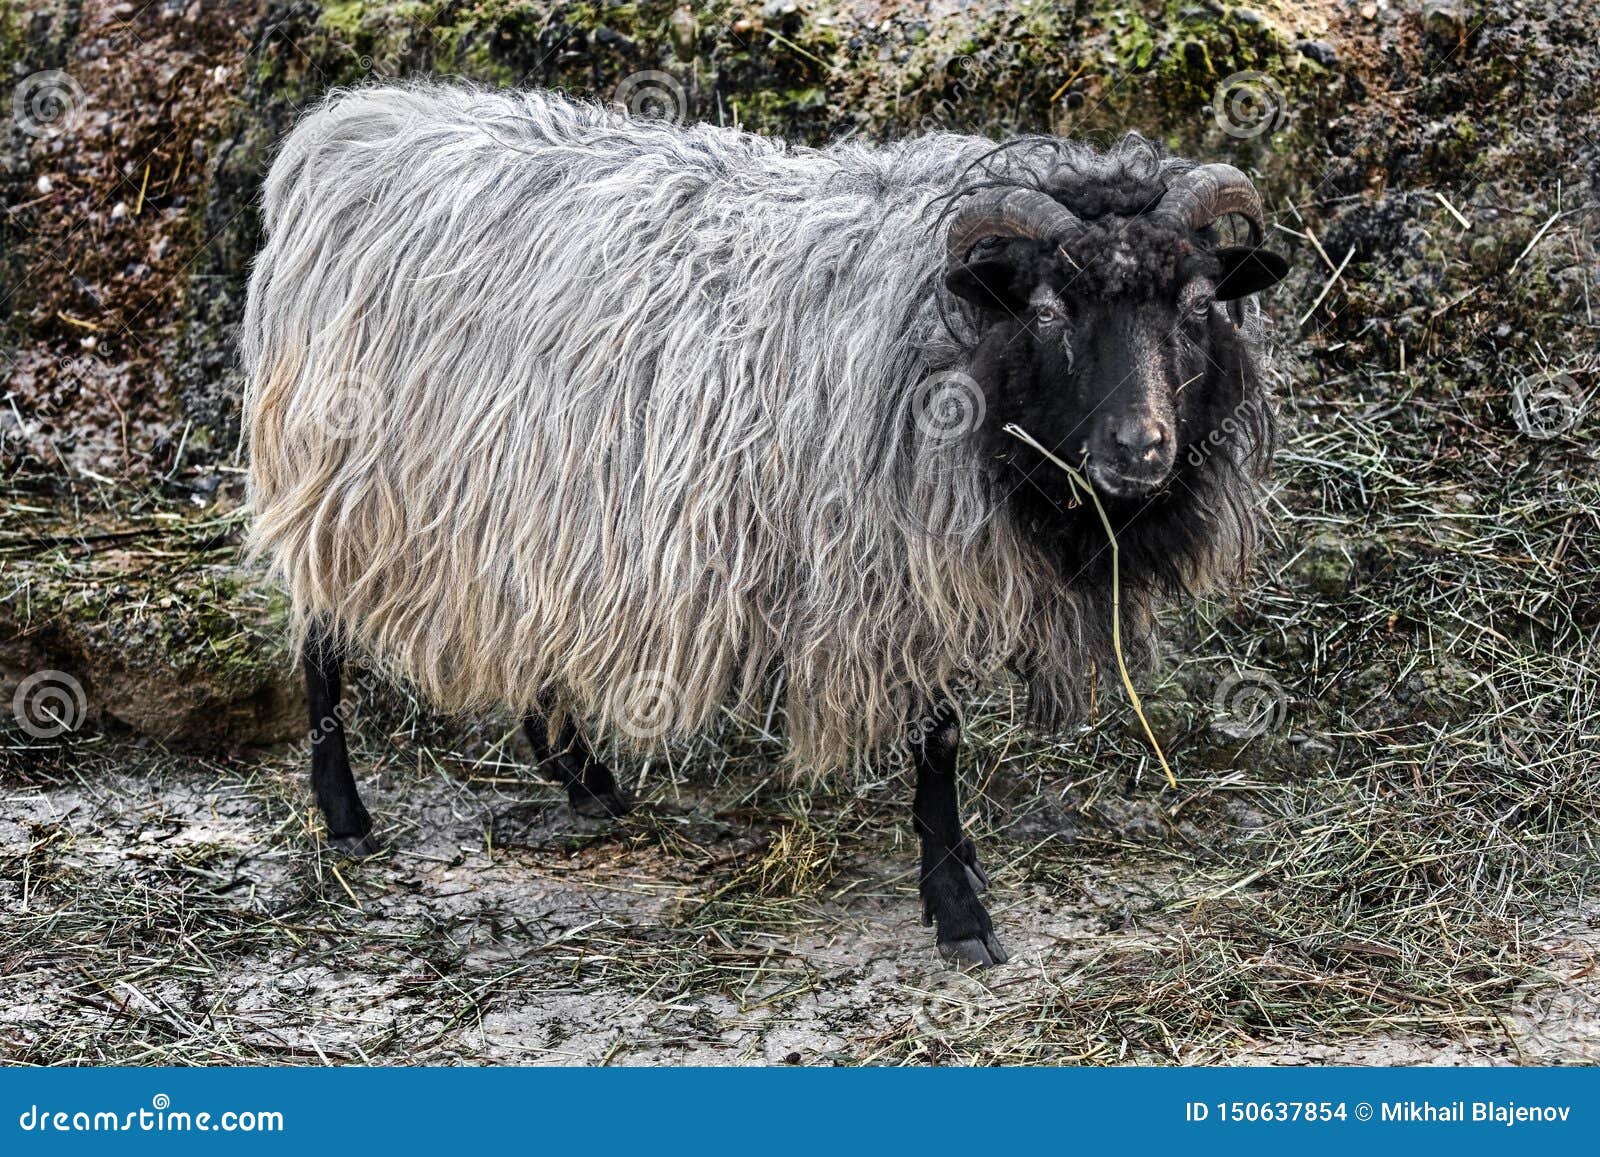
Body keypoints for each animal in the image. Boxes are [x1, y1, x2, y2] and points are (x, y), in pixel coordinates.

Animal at [242, 82, 1287, 966]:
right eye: (1044, 310)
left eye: (1198, 306)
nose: (1140, 450)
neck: (946, 337)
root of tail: (343, 130)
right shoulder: (893, 568)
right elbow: (940, 738)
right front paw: (957, 907)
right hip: (338, 473)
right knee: (320, 632)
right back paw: (345, 813)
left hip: (519, 497)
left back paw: (587, 781)